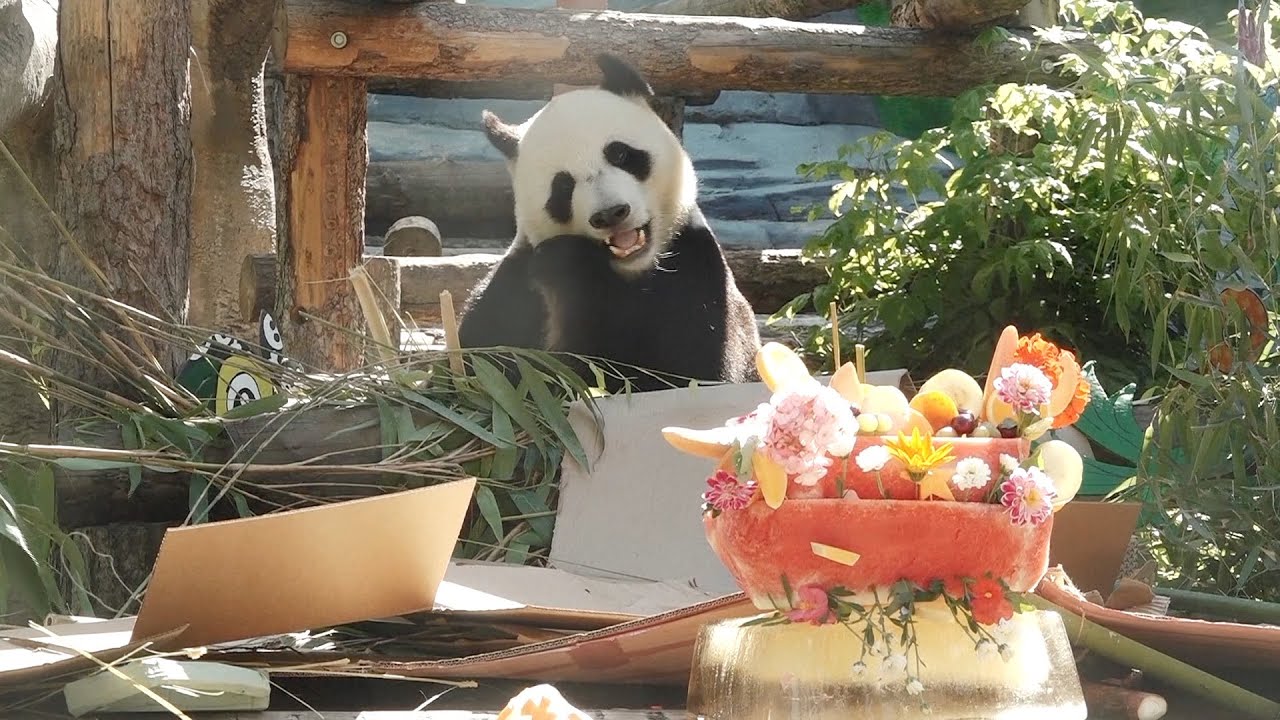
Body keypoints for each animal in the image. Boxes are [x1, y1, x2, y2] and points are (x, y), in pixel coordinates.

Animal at [456, 54, 761, 394]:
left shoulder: (696, 270)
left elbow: (690, 371)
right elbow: (494, 362)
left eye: (620, 154)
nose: (611, 213)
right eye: (563, 186)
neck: (630, 272)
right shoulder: (513, 289)